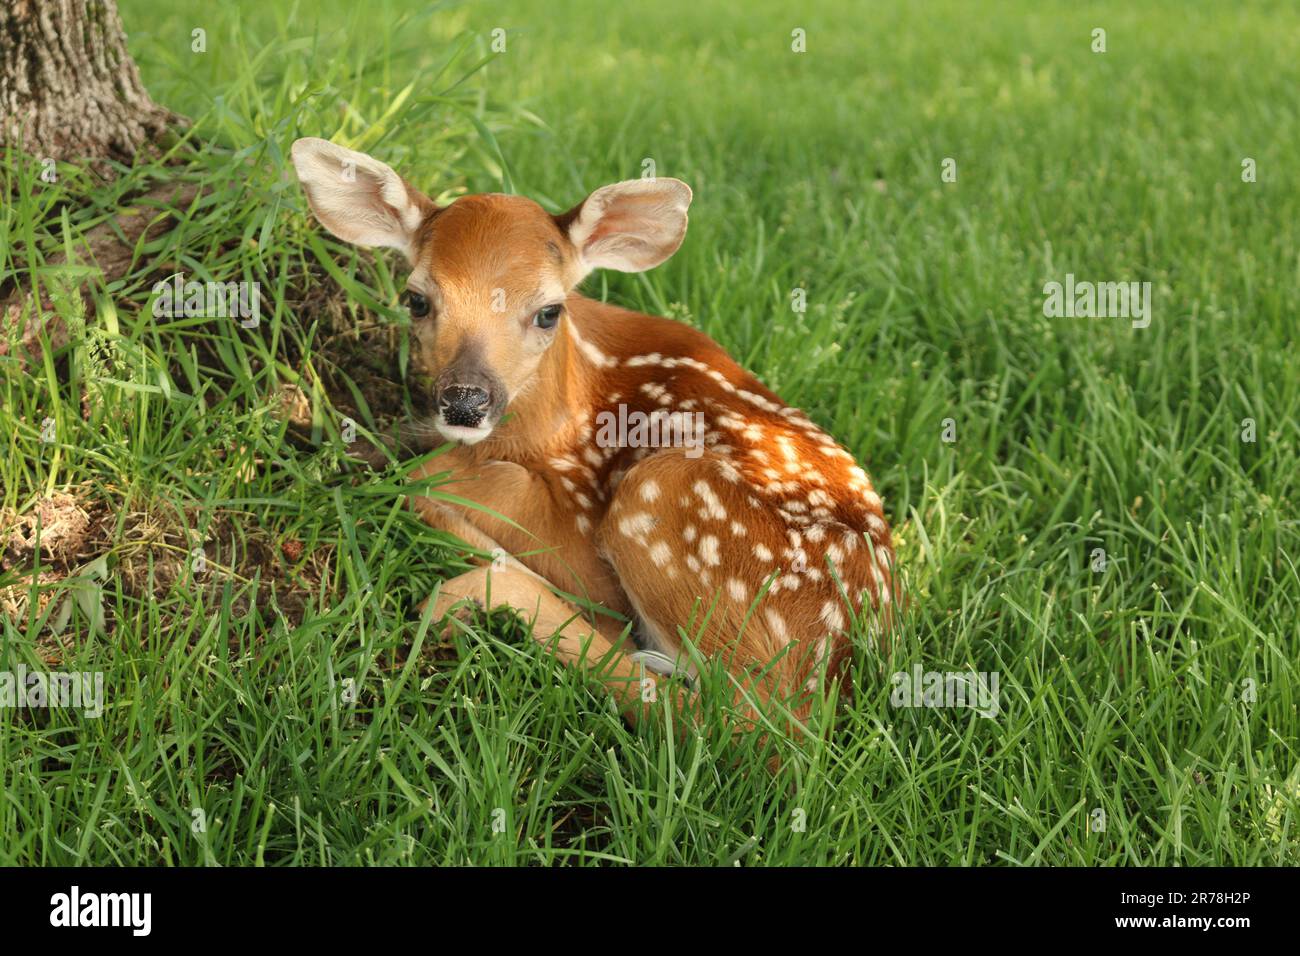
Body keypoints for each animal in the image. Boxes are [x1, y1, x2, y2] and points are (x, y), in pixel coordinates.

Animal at [290, 137, 896, 734]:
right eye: (416, 300)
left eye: (549, 311)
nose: (465, 402)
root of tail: (834, 673)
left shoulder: (577, 518)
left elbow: (439, 475)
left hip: (665, 497)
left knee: (739, 722)